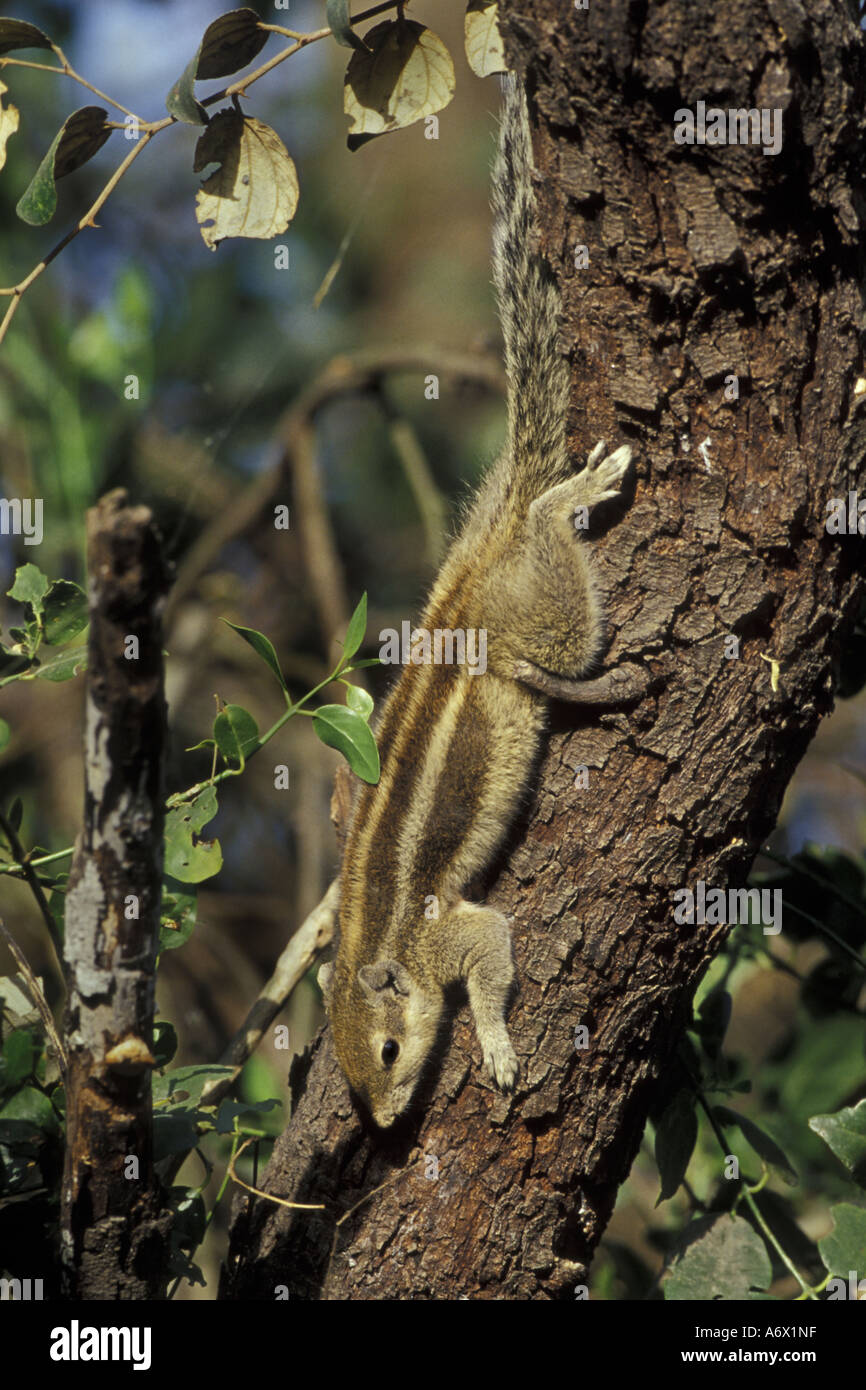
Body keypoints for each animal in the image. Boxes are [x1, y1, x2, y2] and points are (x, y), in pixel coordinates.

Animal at [318, 72, 641, 1129]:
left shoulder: (455, 934)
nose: (382, 1125)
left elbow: (495, 968)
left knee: (550, 577)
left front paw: (496, 1051)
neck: (379, 946)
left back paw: (576, 494)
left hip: (546, 614)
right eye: (345, 1072)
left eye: (387, 1050)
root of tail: (469, 578)